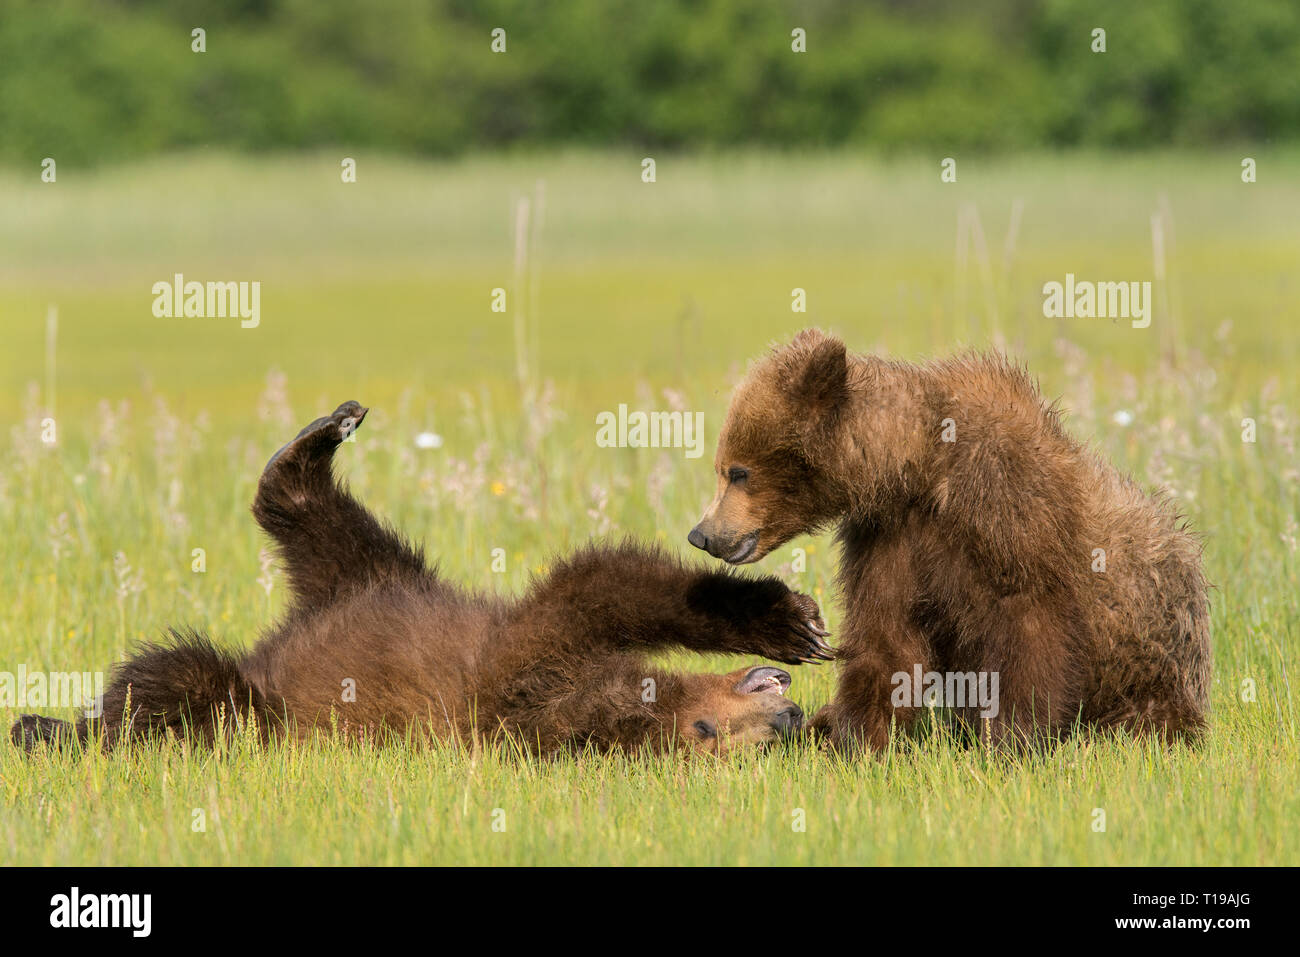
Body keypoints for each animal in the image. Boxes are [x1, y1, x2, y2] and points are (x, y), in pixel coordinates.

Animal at [13, 400, 832, 757]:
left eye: (732, 745)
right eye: (707, 730)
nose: (785, 724)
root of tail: (275, 647)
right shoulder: (527, 658)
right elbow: (603, 584)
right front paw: (786, 617)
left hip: (353, 592)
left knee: (307, 539)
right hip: (352, 608)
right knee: (180, 672)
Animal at [688, 329, 1211, 751]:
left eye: (737, 471)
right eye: (724, 467)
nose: (702, 534)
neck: (924, 471)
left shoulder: (1012, 511)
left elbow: (1030, 630)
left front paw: (1011, 742)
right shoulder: (892, 534)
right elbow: (886, 639)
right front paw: (856, 738)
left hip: (1156, 660)